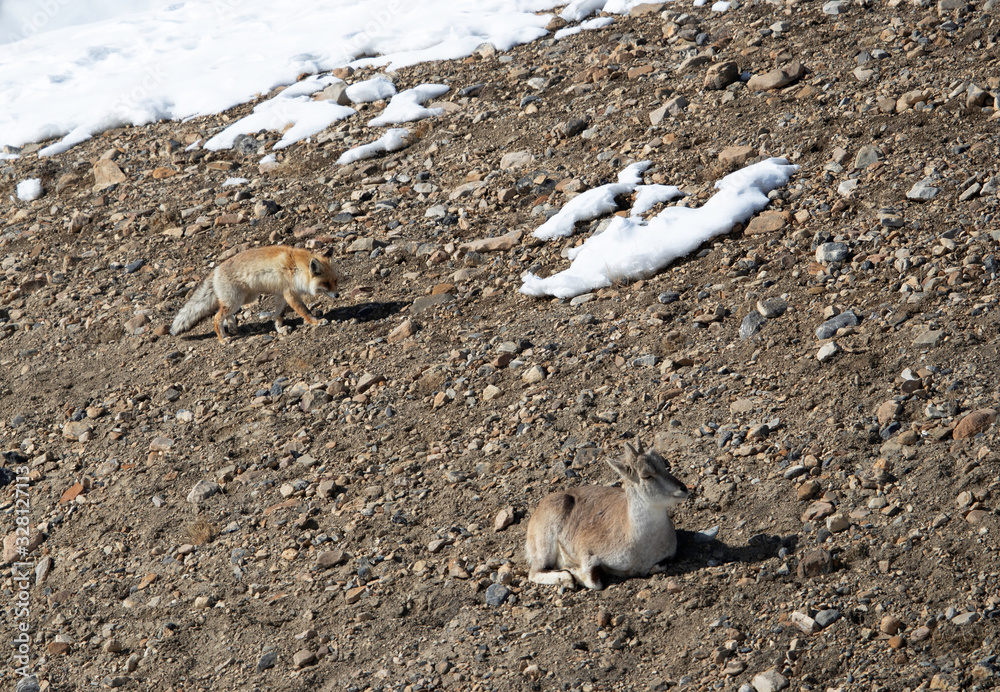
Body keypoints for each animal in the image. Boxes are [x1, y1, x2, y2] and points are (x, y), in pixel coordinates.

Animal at [170, 245, 341, 343]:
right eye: (326, 284)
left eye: (335, 281)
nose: (337, 295)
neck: (295, 268)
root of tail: (216, 269)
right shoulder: (290, 294)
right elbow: (304, 311)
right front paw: (316, 322)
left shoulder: (281, 295)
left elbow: (278, 315)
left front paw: (280, 329)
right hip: (236, 300)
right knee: (217, 317)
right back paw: (223, 339)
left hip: (243, 299)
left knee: (224, 312)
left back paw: (233, 328)